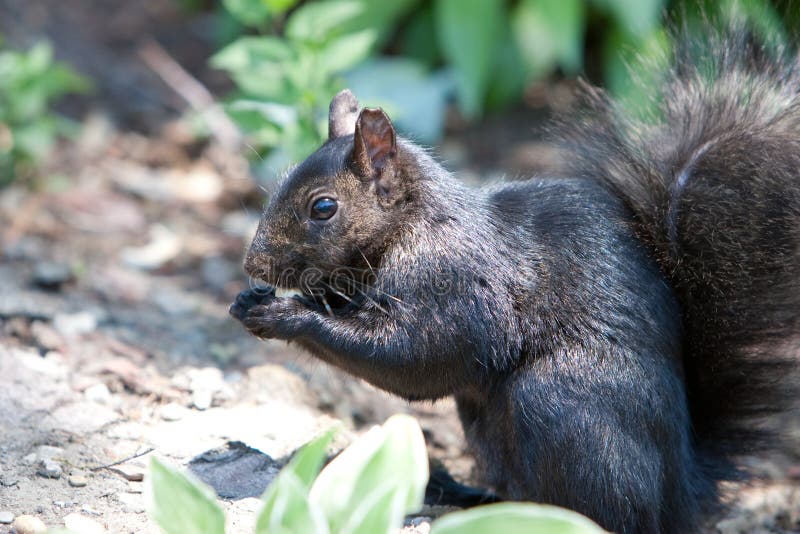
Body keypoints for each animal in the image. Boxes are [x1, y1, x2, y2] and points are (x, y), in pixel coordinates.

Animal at [229, 29, 800, 533]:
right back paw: (465, 495)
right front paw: (253, 300)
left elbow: (415, 357)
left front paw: (285, 314)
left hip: (560, 401)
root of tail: (680, 494)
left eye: (323, 207)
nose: (254, 265)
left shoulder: (458, 285)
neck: (418, 224)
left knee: (613, 515)